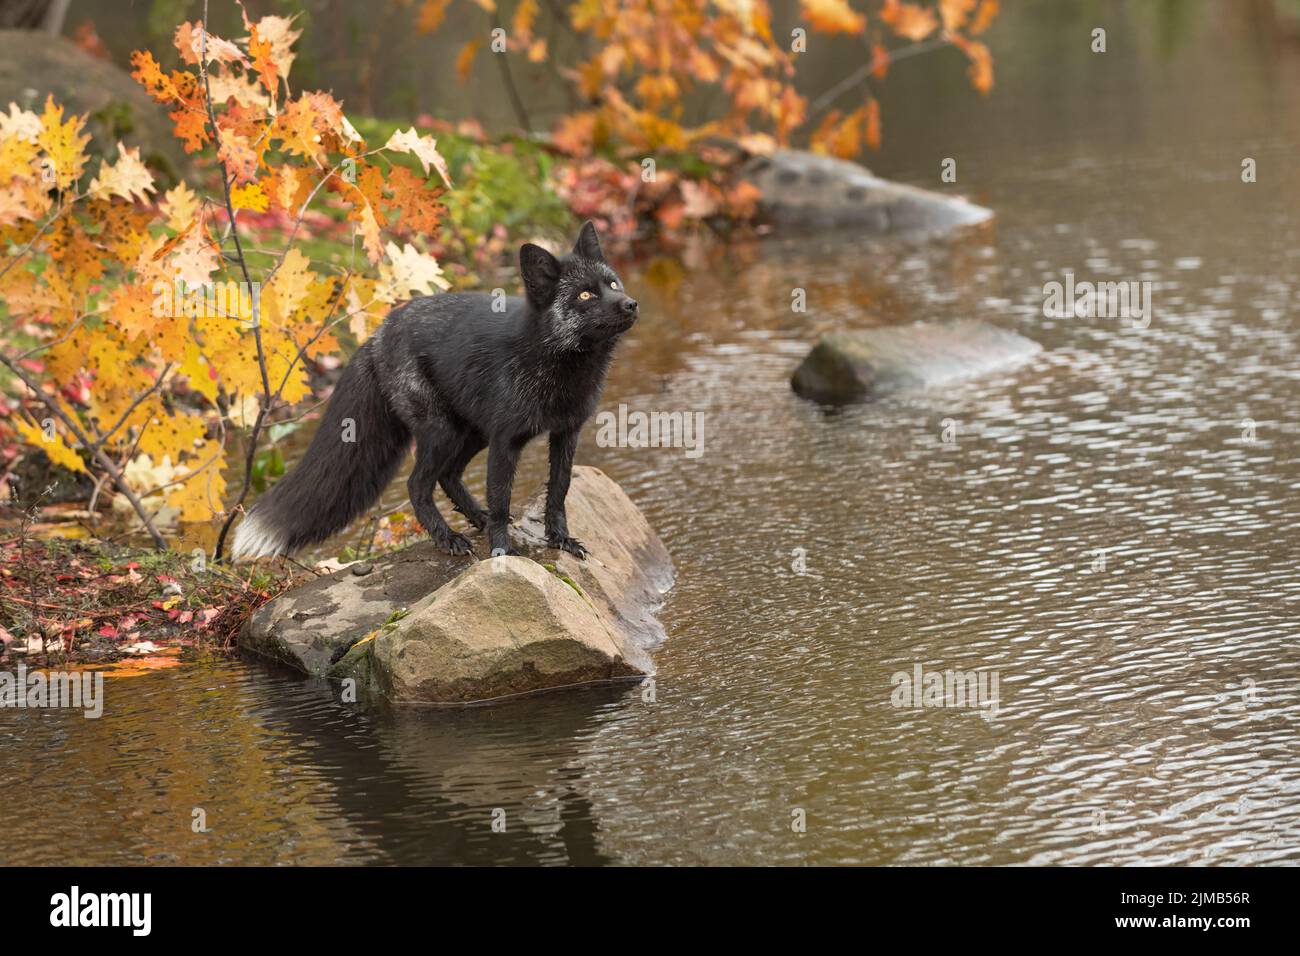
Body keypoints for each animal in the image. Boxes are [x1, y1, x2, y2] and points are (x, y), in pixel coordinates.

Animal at [231, 221, 637, 562]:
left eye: (613, 284)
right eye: (585, 295)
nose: (631, 303)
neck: (556, 362)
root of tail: (377, 334)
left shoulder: (566, 431)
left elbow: (559, 491)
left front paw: (561, 540)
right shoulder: (506, 440)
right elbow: (502, 500)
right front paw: (502, 552)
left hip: (469, 431)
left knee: (448, 476)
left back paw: (475, 520)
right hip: (443, 431)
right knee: (418, 485)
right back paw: (448, 537)